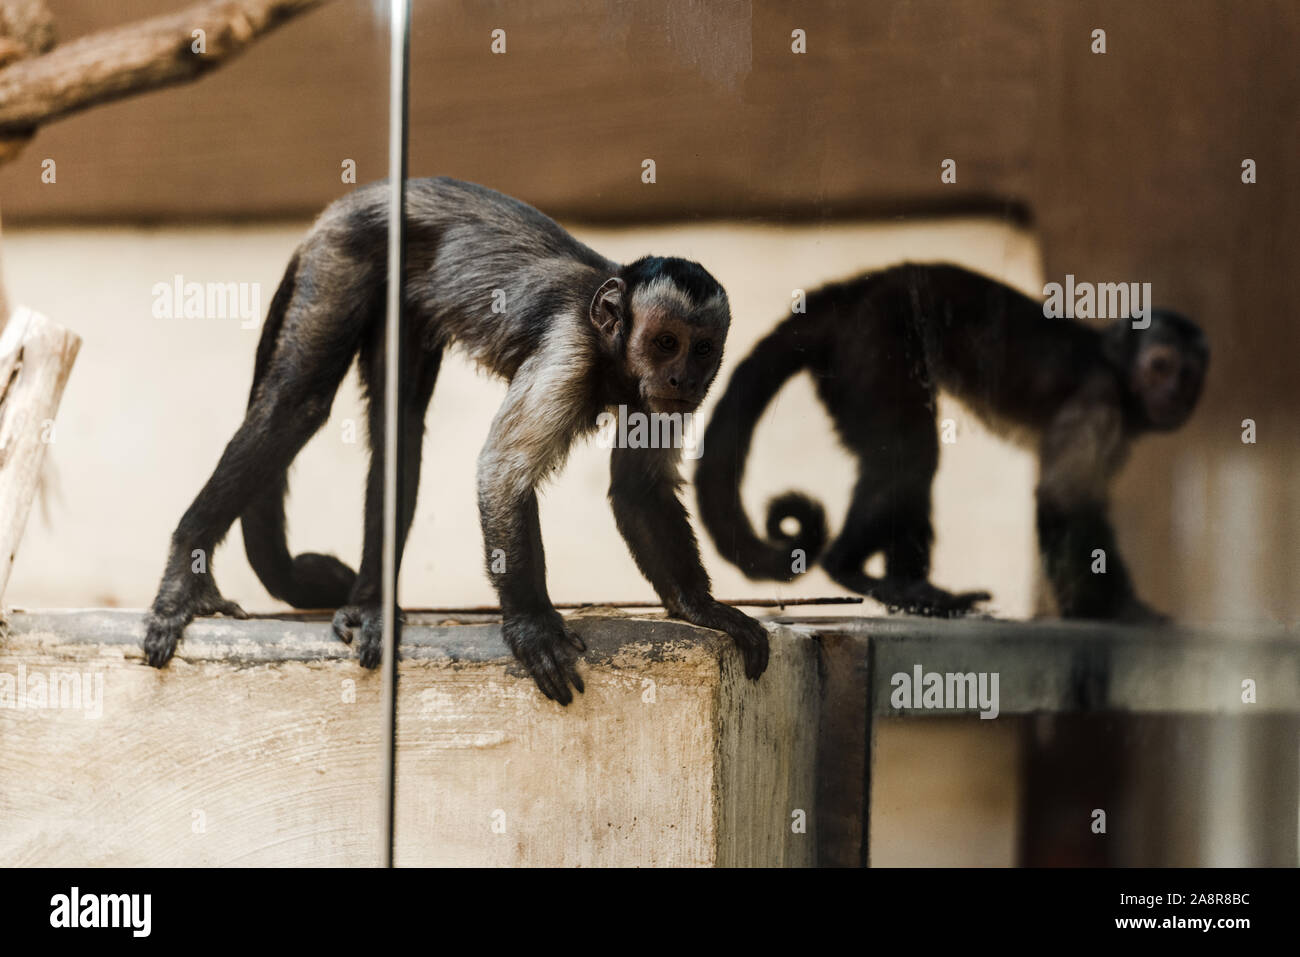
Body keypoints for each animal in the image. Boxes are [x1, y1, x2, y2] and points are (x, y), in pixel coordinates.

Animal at [141, 176, 768, 704]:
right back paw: (186, 574)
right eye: (665, 342)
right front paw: (531, 626)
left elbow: (638, 489)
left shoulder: (653, 398)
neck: (611, 354)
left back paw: (369, 604)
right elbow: (502, 471)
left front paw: (702, 608)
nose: (684, 379)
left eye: (702, 349)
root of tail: (360, 197)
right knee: (296, 405)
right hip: (346, 255)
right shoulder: (569, 352)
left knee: (399, 430)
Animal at [695, 261, 1208, 622]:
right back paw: (851, 567)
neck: (1119, 375)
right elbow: (1063, 500)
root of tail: (852, 290)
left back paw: (913, 593)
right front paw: (1108, 612)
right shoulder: (1099, 400)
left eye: (1187, 375)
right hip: (874, 339)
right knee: (913, 452)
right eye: (1160, 366)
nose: (1172, 393)